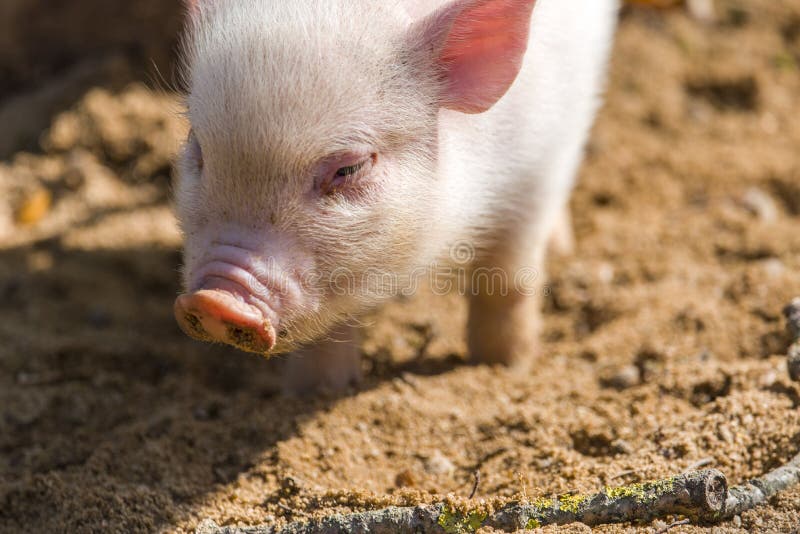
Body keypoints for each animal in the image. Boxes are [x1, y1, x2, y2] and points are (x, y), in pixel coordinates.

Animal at [173, 0, 618, 393]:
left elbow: (508, 284)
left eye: (349, 168)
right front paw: (313, 391)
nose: (213, 300)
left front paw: (505, 367)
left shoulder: (542, 162)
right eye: (199, 147)